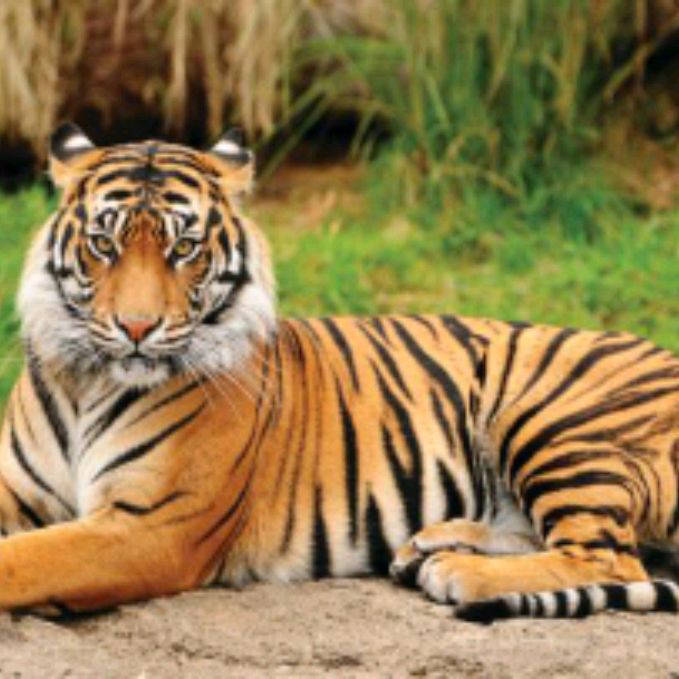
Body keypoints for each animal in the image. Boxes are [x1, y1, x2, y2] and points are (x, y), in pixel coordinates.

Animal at [0, 122, 677, 623]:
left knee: (609, 558)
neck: (86, 379)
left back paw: (457, 570)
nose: (137, 328)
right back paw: (432, 542)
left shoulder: (152, 523)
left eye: (183, 249)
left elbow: (26, 559)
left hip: (545, 415)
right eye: (104, 245)